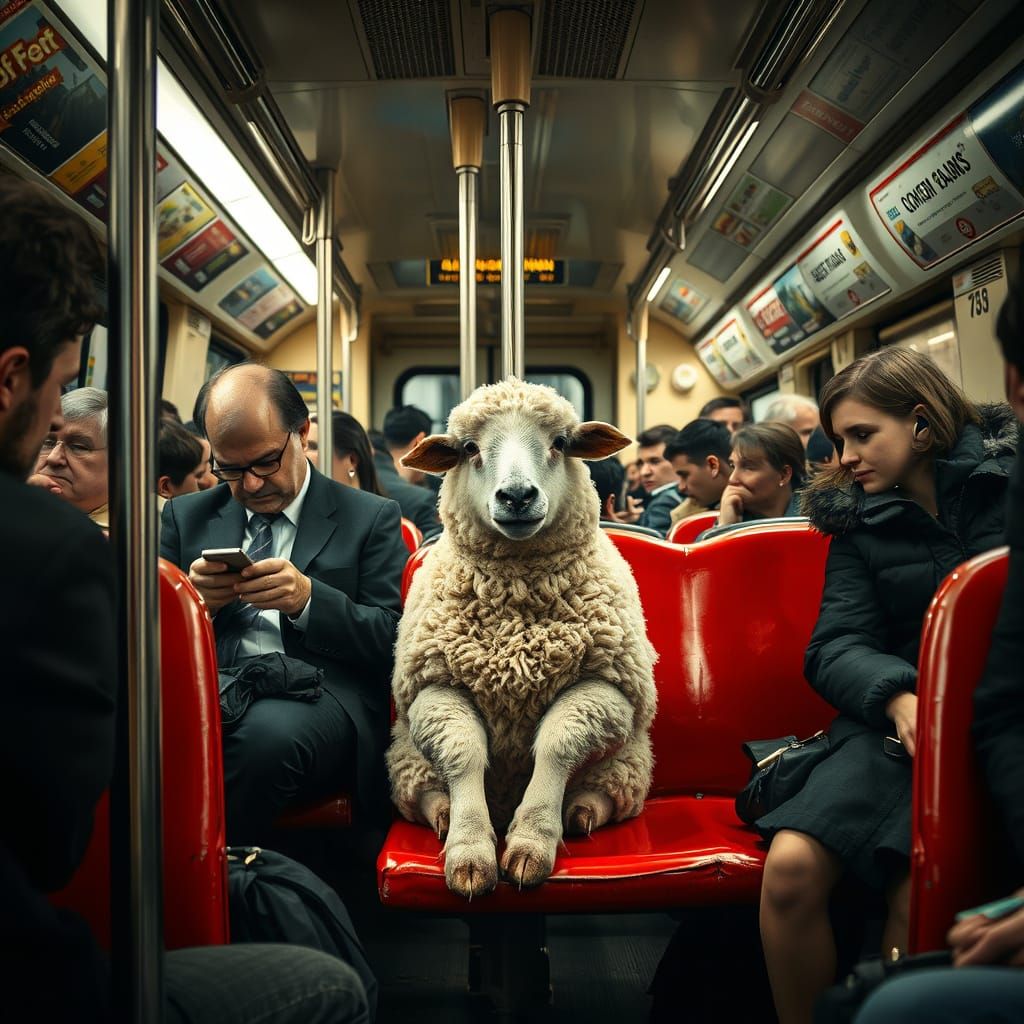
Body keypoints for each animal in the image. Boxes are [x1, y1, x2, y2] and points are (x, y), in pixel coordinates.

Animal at [385, 378, 658, 899]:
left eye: (561, 443)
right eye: (469, 449)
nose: (516, 496)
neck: (516, 615)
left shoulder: (605, 687)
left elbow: (557, 743)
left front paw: (532, 841)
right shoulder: (436, 684)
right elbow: (463, 750)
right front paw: (470, 849)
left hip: (626, 765)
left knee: (605, 793)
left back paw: (580, 812)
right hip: (407, 761)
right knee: (424, 790)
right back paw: (444, 813)